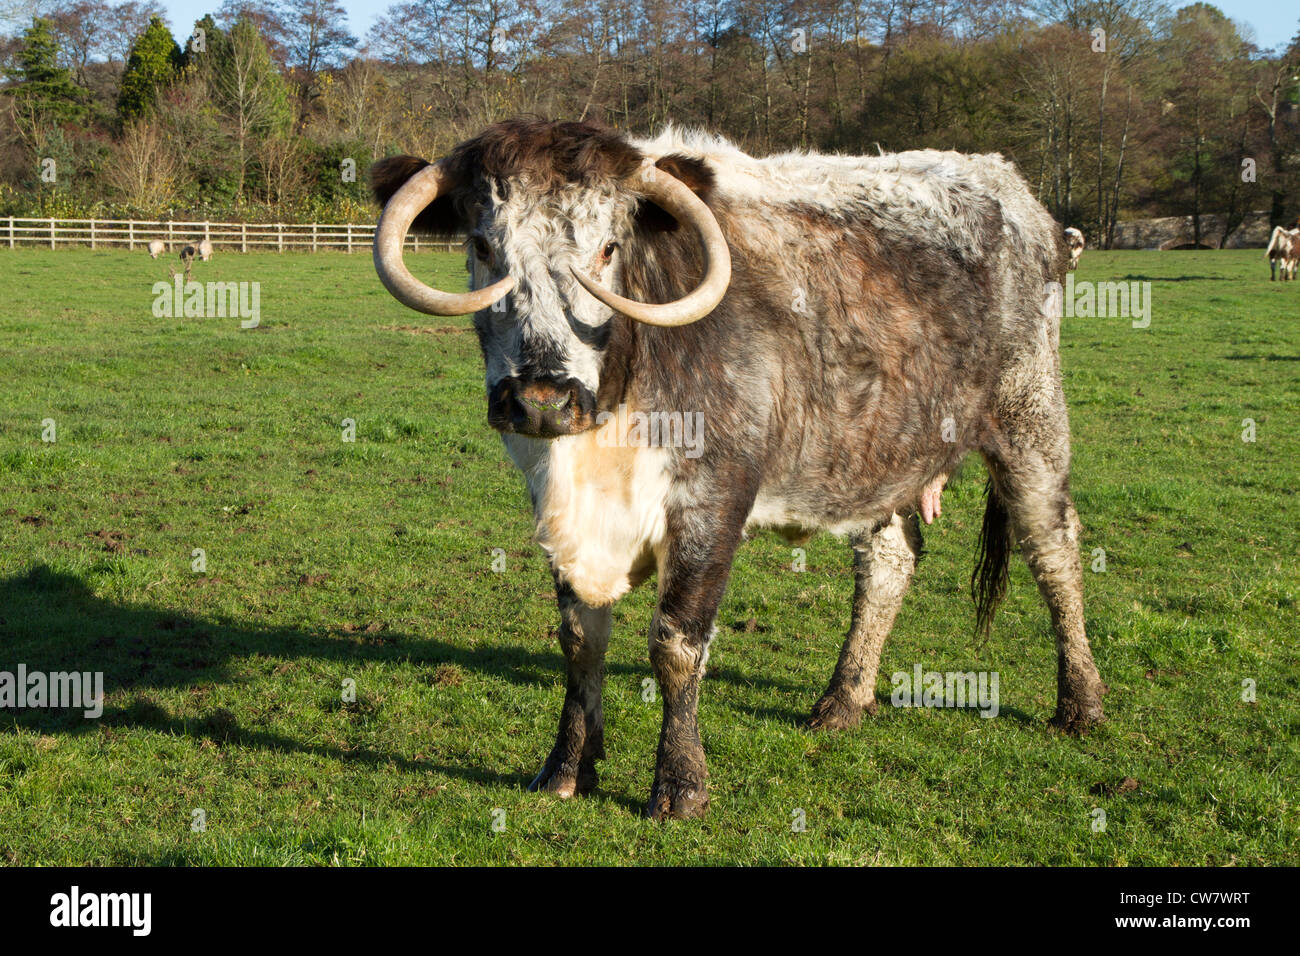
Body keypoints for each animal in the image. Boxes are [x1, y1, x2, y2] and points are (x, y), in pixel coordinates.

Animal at [370, 119, 1107, 819]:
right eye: (483, 246)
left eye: (608, 249)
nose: (542, 398)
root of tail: (1008, 184)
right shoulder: (555, 506)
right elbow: (580, 640)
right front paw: (567, 767)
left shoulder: (712, 501)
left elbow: (676, 644)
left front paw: (680, 786)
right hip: (886, 452)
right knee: (891, 559)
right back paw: (844, 699)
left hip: (1031, 422)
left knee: (1053, 549)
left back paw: (1081, 704)